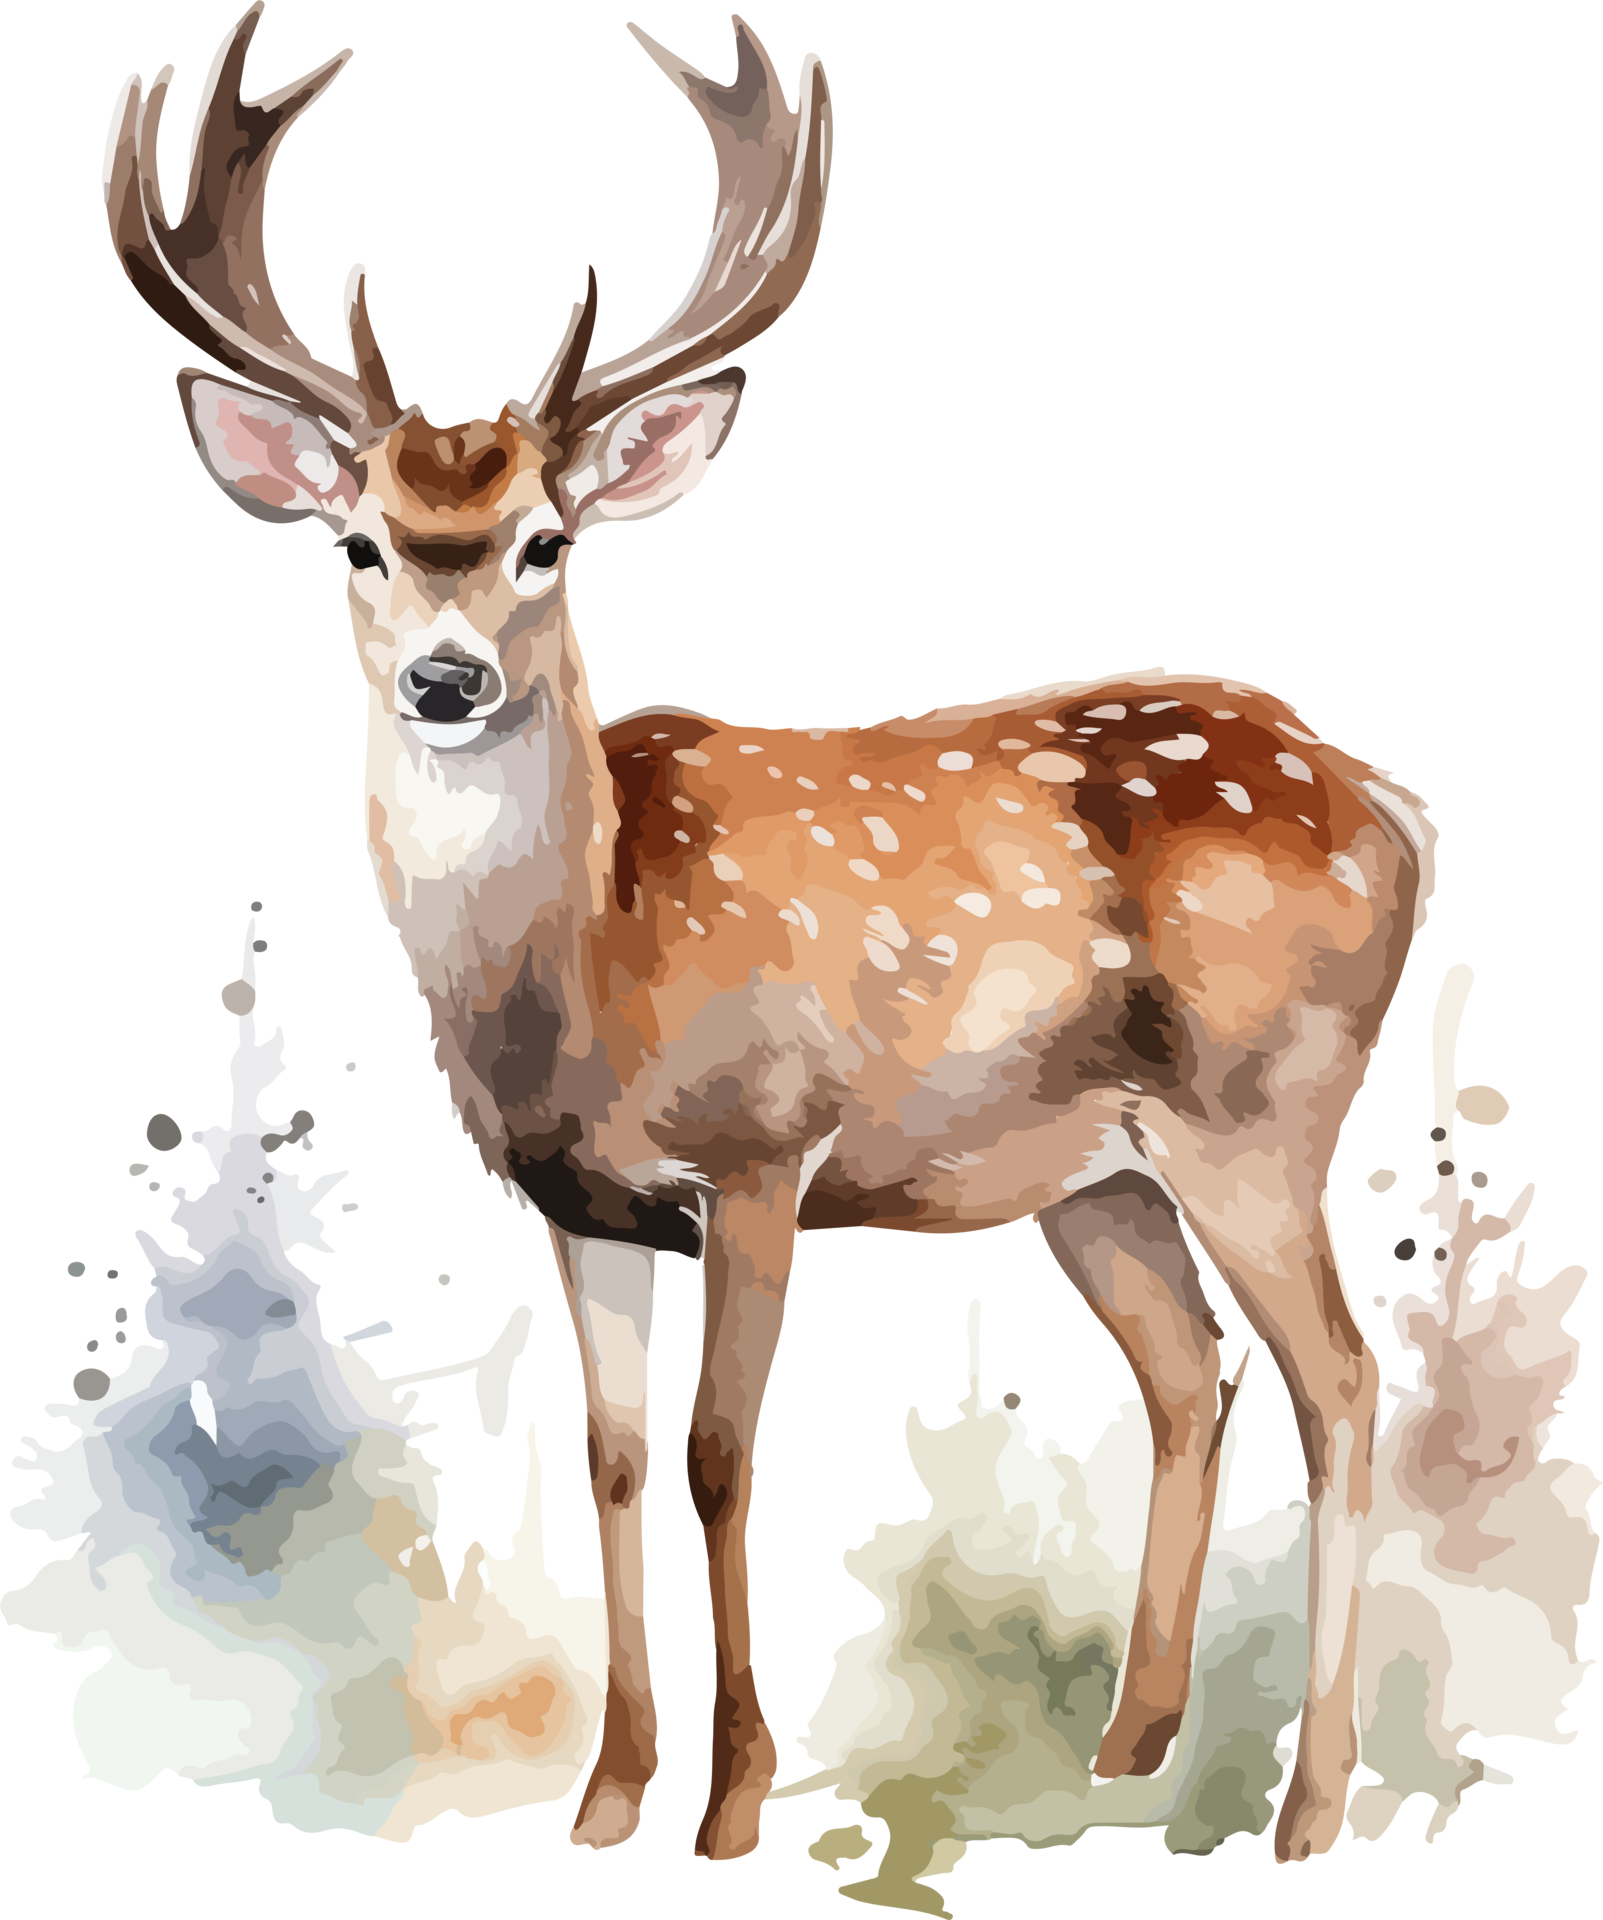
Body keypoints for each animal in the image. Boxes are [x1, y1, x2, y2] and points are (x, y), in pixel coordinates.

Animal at [103, 3, 1438, 1867]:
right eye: (359, 544)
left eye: (547, 542)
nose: (446, 677)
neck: (596, 966)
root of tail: (1390, 804)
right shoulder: (570, 1201)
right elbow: (606, 1456)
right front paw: (603, 1796)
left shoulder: (757, 1159)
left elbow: (721, 1450)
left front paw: (732, 1798)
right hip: (1089, 1174)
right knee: (1193, 1375)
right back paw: (1125, 1753)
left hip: (1265, 1112)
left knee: (1336, 1380)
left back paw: (1306, 1802)